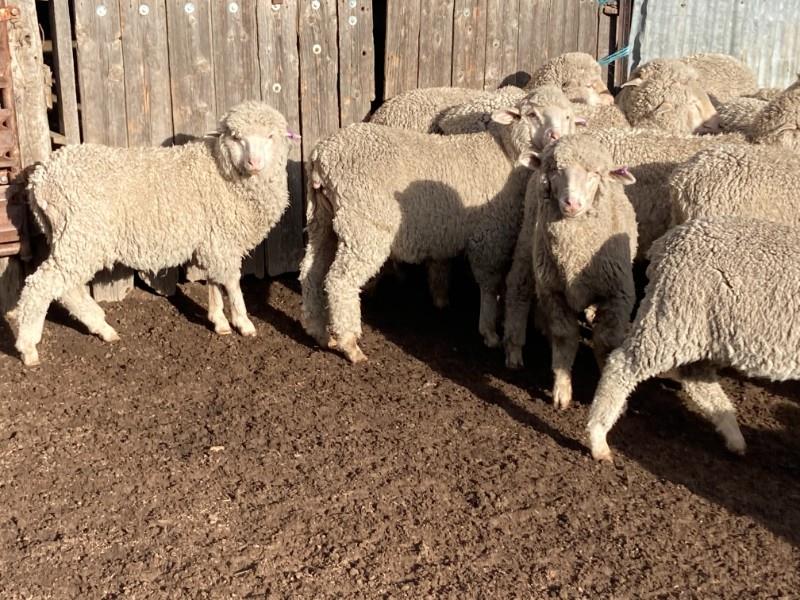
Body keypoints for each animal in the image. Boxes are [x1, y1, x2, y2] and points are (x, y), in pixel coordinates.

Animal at [13, 101, 293, 366]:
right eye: (236, 137)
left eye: (270, 136)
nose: (254, 163)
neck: (219, 169)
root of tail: (41, 178)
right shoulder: (223, 239)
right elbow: (232, 283)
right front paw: (243, 323)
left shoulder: (213, 239)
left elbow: (214, 280)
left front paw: (219, 321)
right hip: (82, 234)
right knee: (42, 285)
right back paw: (28, 347)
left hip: (67, 235)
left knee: (67, 288)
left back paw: (102, 327)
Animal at [300, 86, 576, 363]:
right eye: (531, 114)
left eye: (568, 117)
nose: (556, 136)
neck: (505, 154)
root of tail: (321, 155)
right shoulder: (490, 235)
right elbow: (490, 285)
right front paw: (489, 332)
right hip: (364, 227)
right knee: (340, 281)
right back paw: (349, 344)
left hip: (321, 220)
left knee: (310, 272)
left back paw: (318, 330)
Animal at [528, 135, 638, 410]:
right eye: (555, 170)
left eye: (594, 174)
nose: (572, 203)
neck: (574, 256)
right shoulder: (552, 293)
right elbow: (564, 337)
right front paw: (562, 391)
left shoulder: (618, 296)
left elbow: (606, 342)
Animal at [587, 217, 800, 462]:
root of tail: (668, 242)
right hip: (675, 312)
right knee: (622, 365)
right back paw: (598, 437)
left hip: (703, 326)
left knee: (695, 376)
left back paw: (733, 435)